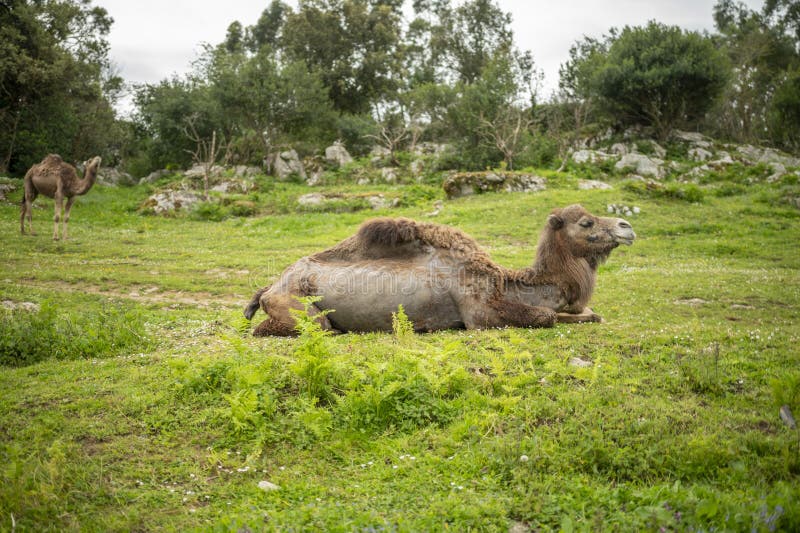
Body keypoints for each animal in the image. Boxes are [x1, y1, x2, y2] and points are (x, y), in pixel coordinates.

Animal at [244, 204, 635, 336]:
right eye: (586, 222)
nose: (626, 226)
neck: (505, 281)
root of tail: (270, 286)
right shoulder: (479, 311)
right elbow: (545, 316)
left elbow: (589, 313)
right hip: (298, 304)